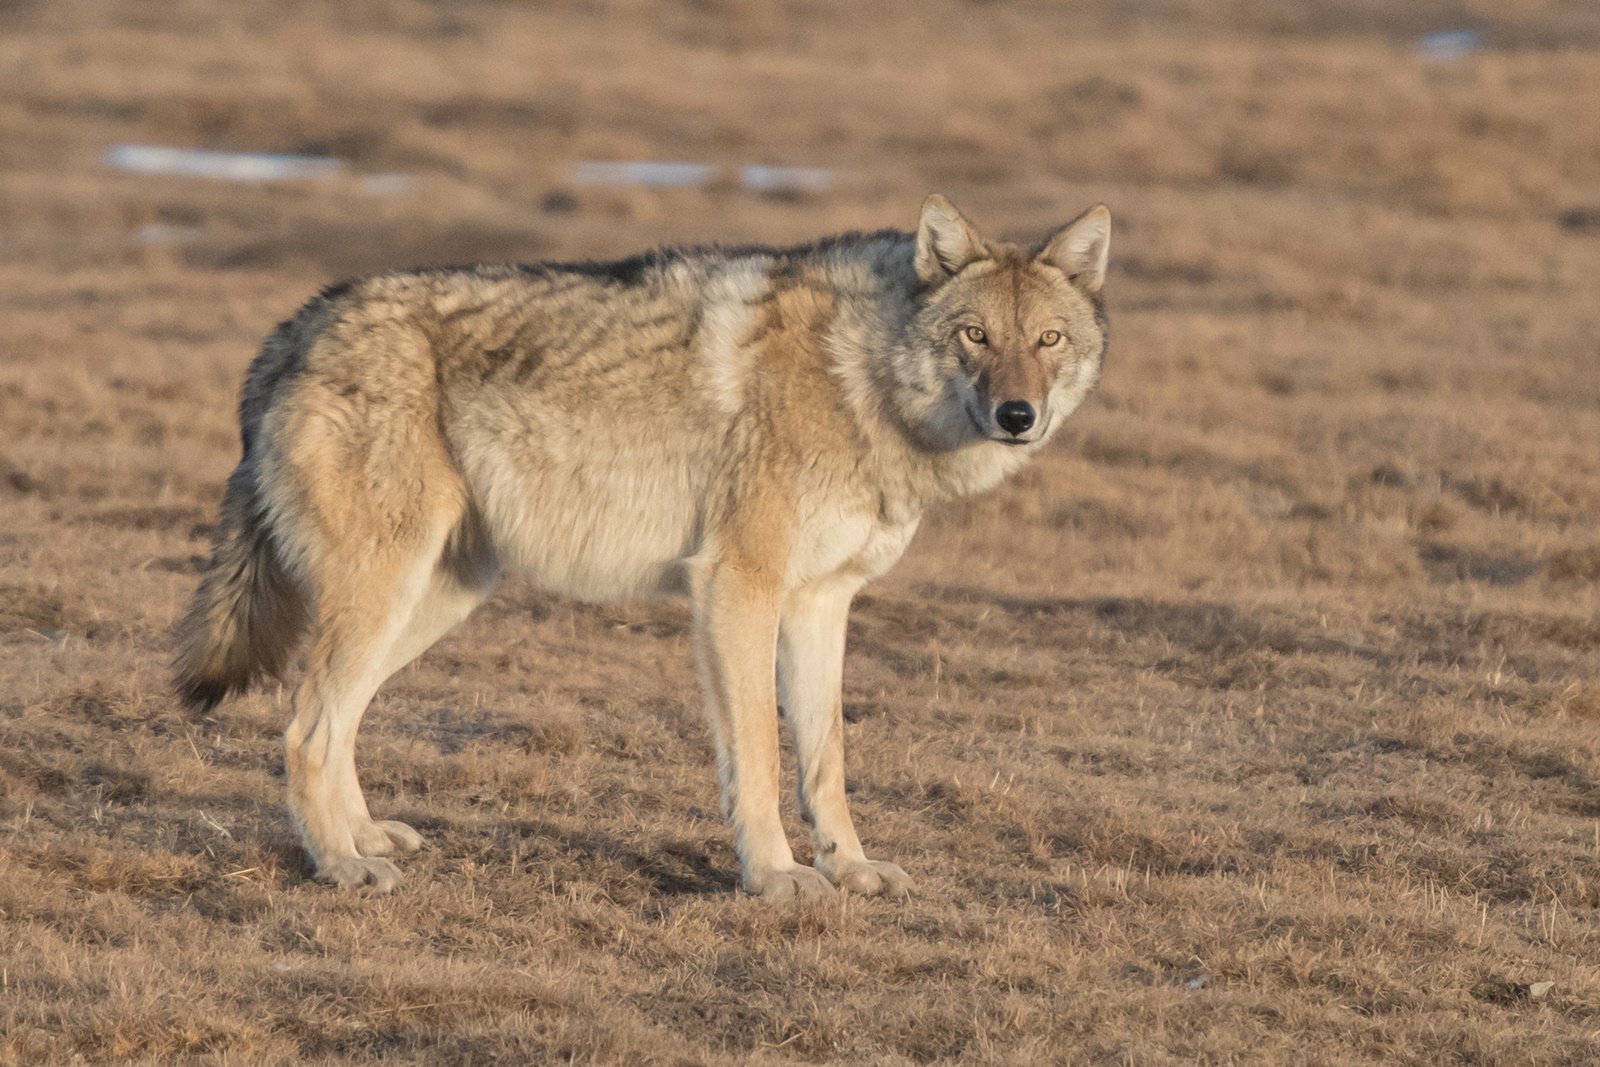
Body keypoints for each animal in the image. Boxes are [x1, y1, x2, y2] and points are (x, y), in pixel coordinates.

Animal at [174, 194, 1111, 900]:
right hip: (390, 589)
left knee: (340, 718)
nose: (1018, 416)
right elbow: (759, 754)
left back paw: (365, 836)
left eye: (1048, 340)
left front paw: (850, 867)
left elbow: (825, 758)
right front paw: (775, 877)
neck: (862, 379)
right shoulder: (737, 584)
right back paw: (337, 863)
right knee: (306, 728)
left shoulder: (821, 601)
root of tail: (297, 324)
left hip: (437, 596)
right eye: (975, 336)